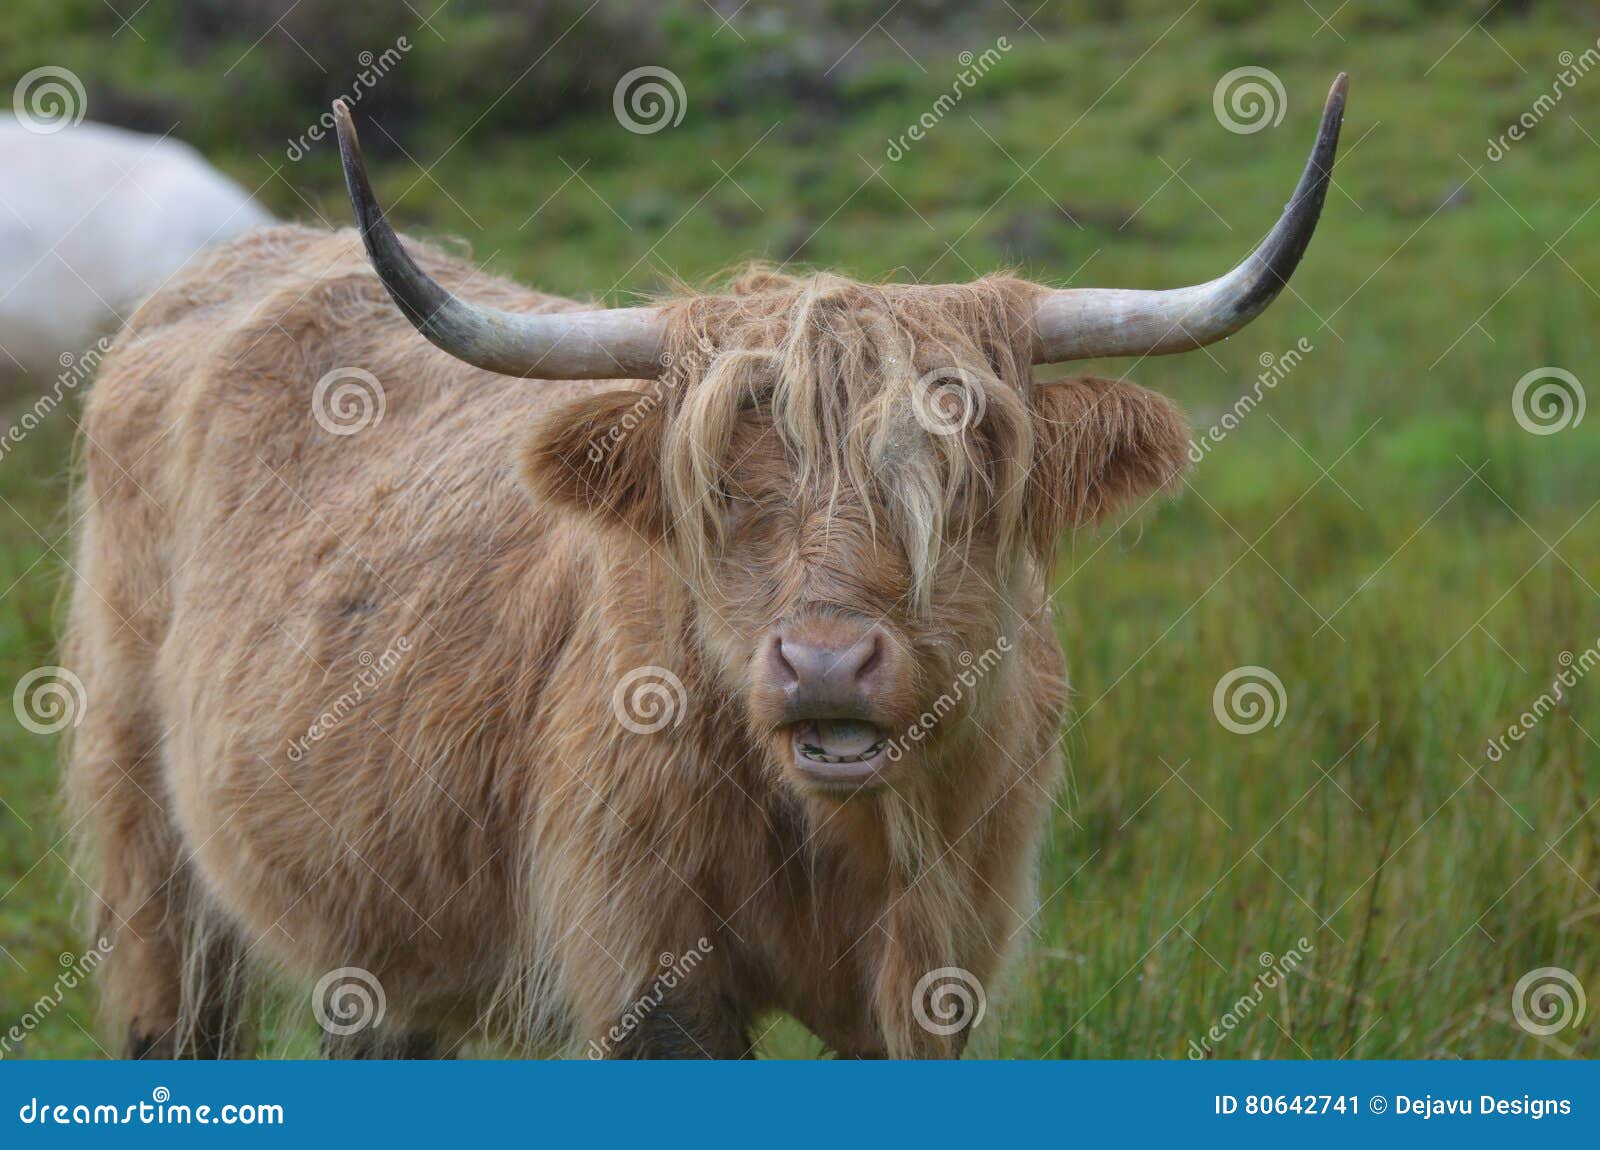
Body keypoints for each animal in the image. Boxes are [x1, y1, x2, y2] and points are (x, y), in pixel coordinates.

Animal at [63, 75, 1345, 1059]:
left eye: (959, 476)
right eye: (718, 490)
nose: (824, 665)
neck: (843, 840)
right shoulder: (650, 975)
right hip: (151, 859)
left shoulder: (942, 973)